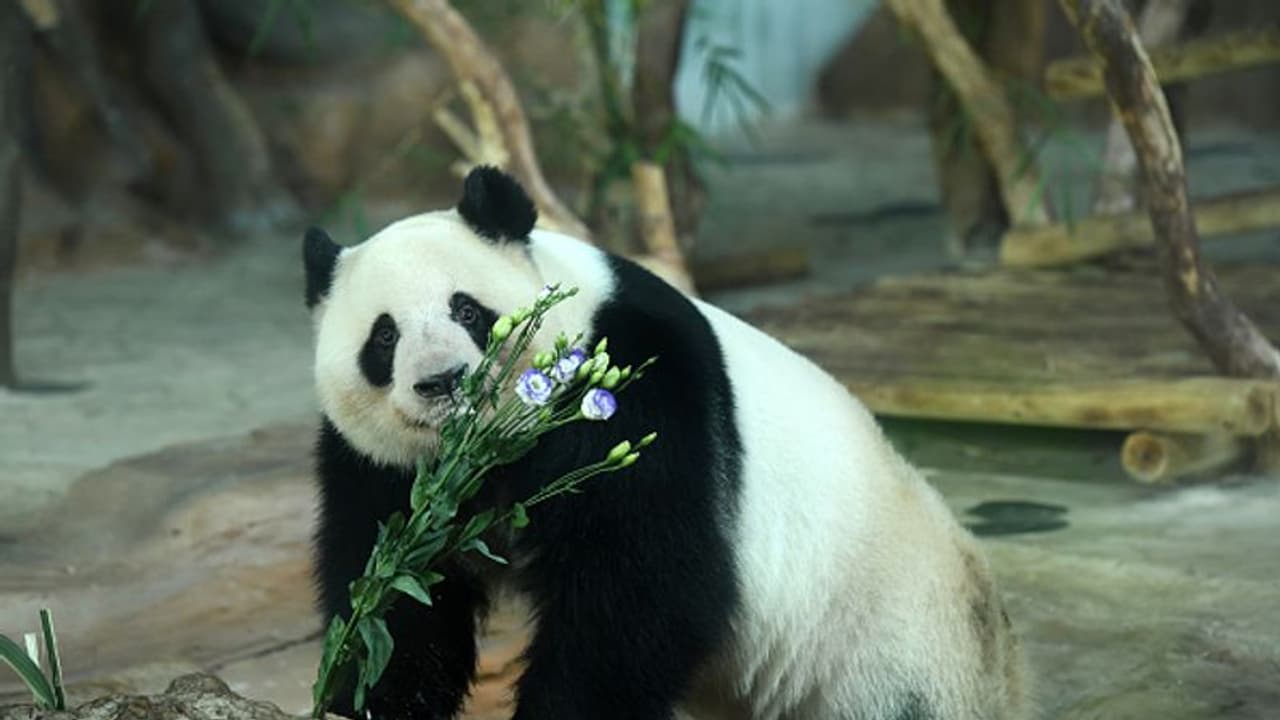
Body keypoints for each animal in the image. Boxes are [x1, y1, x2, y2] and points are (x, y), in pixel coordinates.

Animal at [303, 166, 1028, 720]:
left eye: (469, 311)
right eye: (384, 337)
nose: (442, 381)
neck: (488, 454)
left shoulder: (642, 386)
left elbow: (639, 587)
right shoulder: (386, 470)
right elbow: (395, 599)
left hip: (893, 652)